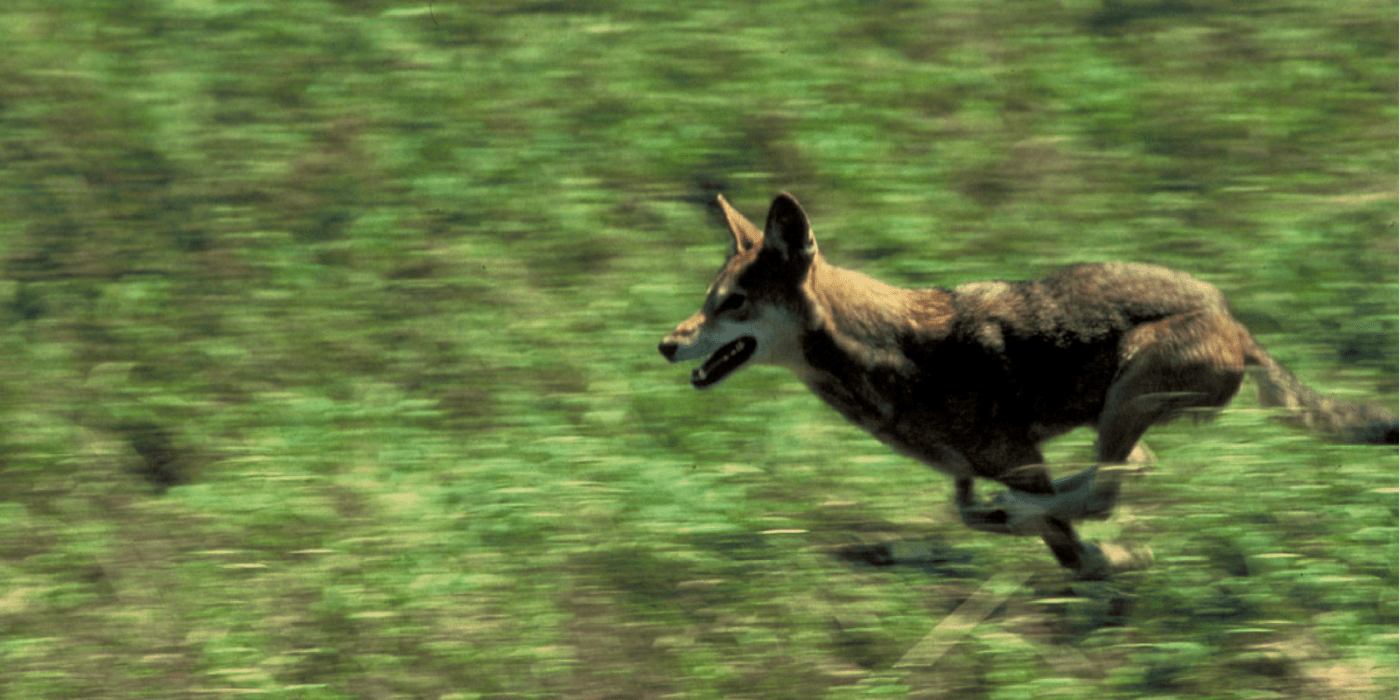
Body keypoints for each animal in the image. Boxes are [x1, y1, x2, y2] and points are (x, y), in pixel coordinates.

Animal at [658, 192, 1397, 579]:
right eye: (708, 300)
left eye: (733, 305)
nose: (666, 344)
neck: (887, 354)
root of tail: (1235, 322)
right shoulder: (976, 468)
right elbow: (971, 510)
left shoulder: (1015, 458)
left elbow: (1067, 543)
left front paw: (1098, 556)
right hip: (1116, 411)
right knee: (1124, 470)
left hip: (1130, 381)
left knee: (1106, 487)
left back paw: (1040, 513)